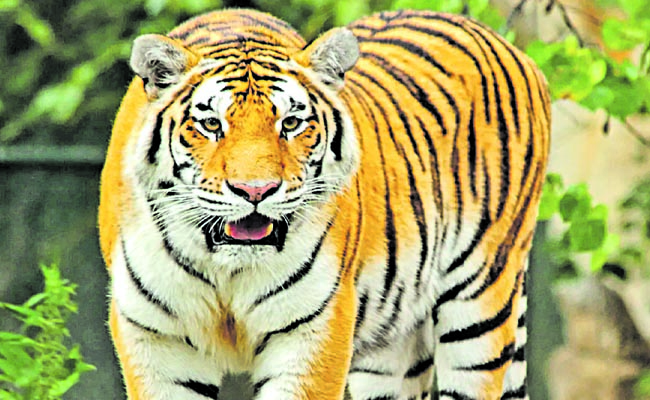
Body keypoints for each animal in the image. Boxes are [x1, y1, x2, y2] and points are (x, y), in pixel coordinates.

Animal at [98, 7, 550, 400]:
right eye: (211, 124)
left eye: (291, 123)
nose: (256, 191)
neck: (227, 269)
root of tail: (515, 51)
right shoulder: (155, 338)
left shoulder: (312, 331)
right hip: (393, 346)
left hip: (480, 305)